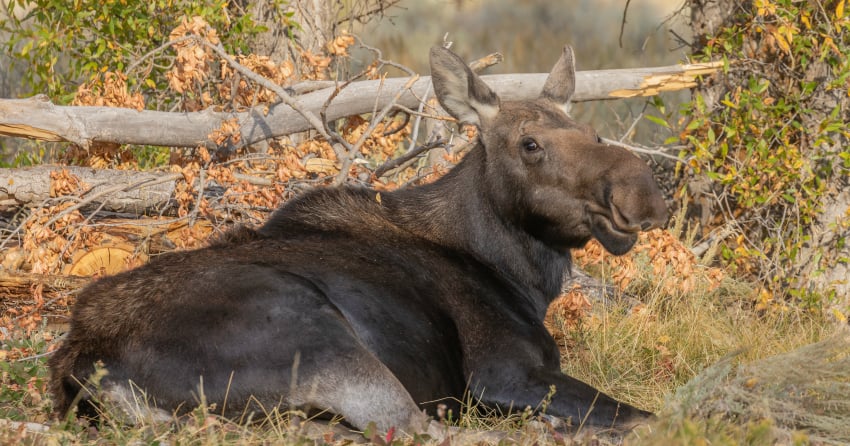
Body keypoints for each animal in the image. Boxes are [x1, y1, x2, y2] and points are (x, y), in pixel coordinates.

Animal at [49, 44, 668, 437]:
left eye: (591, 132)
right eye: (530, 144)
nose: (638, 194)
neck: (524, 278)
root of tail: (83, 366)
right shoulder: (500, 375)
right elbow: (649, 417)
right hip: (324, 337)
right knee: (417, 429)